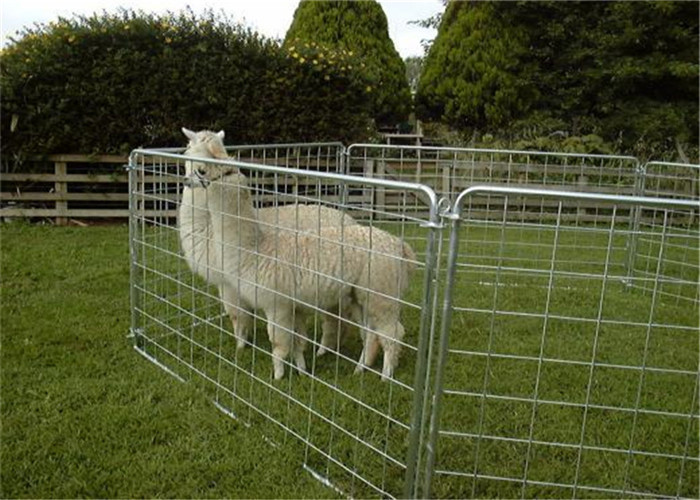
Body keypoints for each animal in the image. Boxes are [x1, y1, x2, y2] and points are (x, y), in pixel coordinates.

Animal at [178, 128, 358, 356]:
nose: (185, 180)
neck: (208, 228)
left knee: (335, 319)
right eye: (187, 153)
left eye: (200, 166)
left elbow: (237, 315)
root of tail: (350, 219)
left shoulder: (229, 283)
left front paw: (240, 346)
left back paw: (323, 350)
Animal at [184, 160, 415, 381]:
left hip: (381, 292)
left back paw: (385, 375)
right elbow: (295, 341)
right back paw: (359, 369)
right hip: (361, 294)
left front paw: (276, 375)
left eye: (201, 170)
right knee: (370, 333)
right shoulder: (290, 305)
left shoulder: (273, 303)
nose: (186, 181)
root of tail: (400, 245)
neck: (256, 249)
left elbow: (274, 340)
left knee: (392, 332)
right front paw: (301, 370)